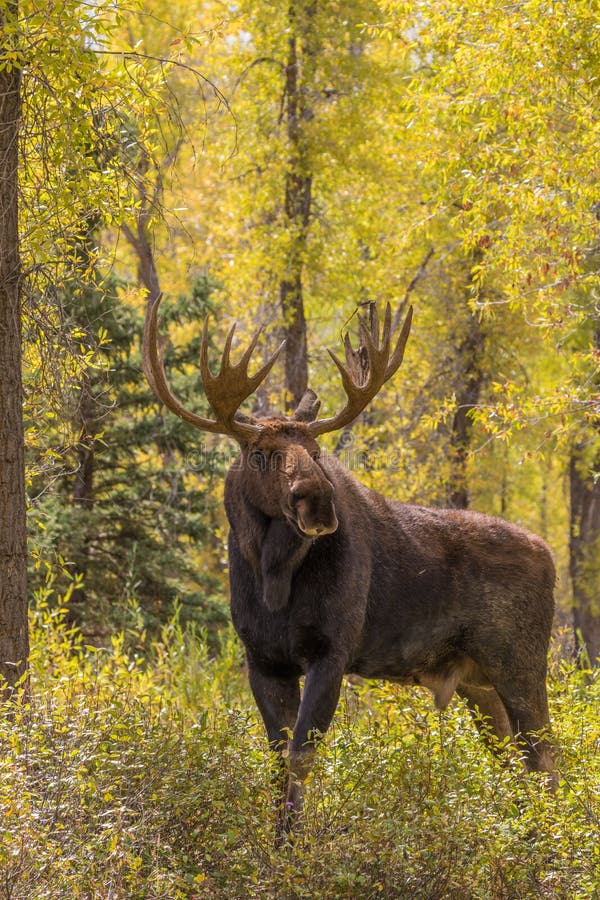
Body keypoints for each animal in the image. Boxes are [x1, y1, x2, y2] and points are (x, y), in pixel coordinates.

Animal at [143, 296, 557, 842]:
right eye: (261, 453)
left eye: (317, 452)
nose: (317, 500)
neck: (273, 578)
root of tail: (550, 555)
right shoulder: (262, 659)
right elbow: (276, 760)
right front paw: (276, 842)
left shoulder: (332, 651)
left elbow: (300, 757)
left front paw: (295, 846)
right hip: (477, 683)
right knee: (512, 763)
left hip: (520, 663)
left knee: (545, 759)